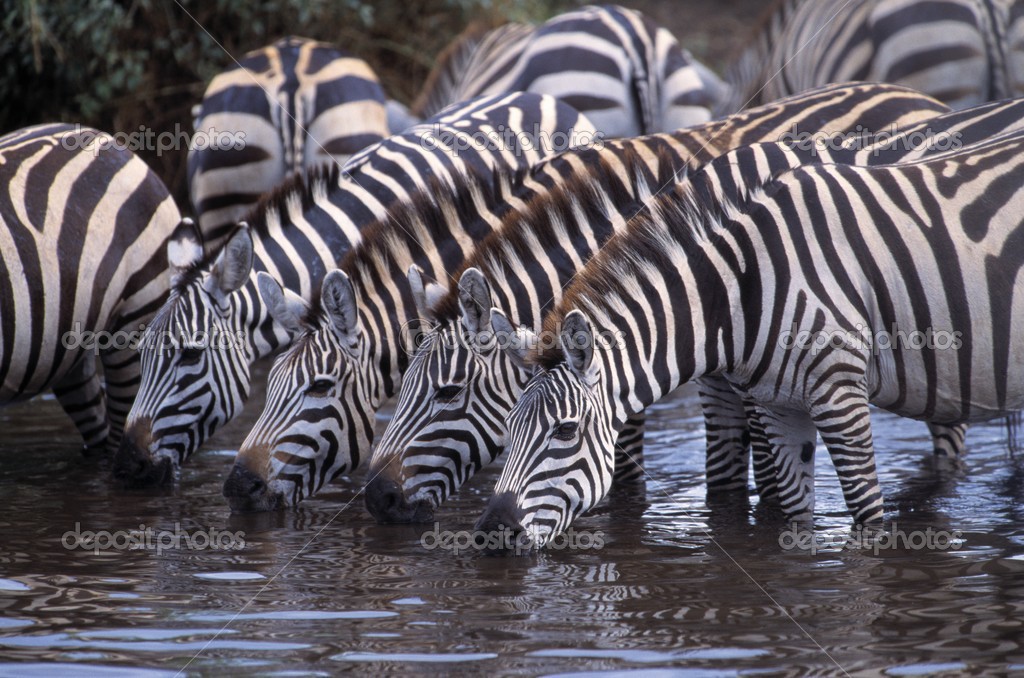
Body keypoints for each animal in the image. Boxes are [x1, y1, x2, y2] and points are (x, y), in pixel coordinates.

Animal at [477, 124, 1024, 549]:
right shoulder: (777, 405)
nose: (491, 531)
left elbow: (867, 518)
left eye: (565, 431)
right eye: (509, 427)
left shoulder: (840, 394)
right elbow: (796, 519)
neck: (739, 287)